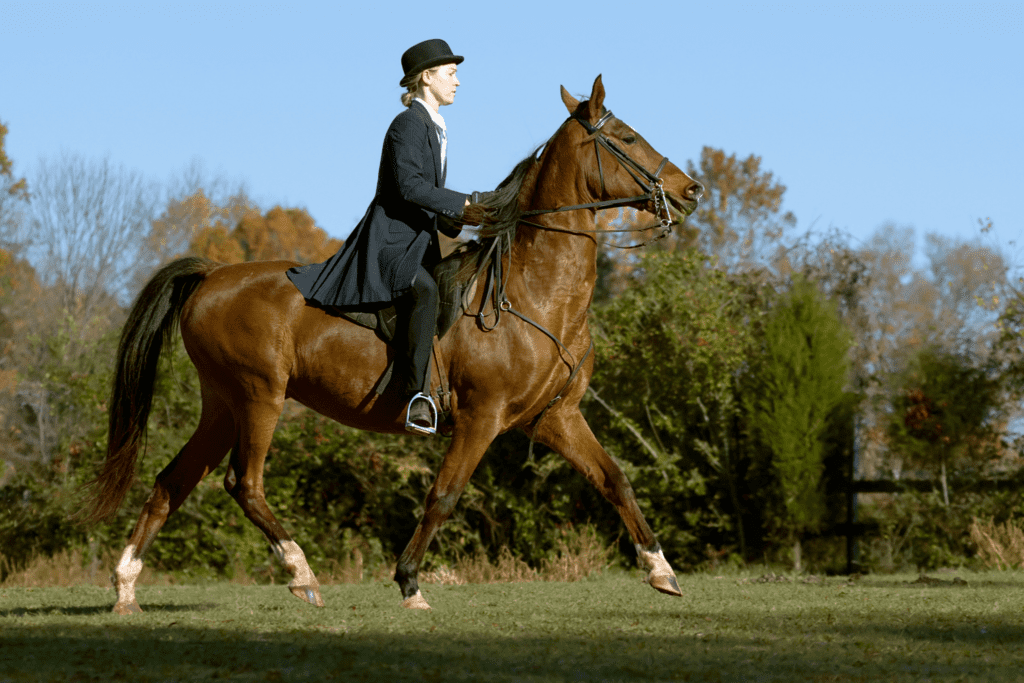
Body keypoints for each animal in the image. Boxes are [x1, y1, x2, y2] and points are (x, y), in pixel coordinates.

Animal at [86, 75, 704, 613]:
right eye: (627, 138)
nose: (690, 190)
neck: (535, 291)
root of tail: (212, 275)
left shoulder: (554, 417)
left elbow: (614, 479)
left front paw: (661, 569)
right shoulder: (482, 417)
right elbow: (444, 496)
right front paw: (409, 584)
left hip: (221, 403)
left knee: (171, 483)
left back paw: (125, 589)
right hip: (259, 396)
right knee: (245, 483)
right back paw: (301, 574)